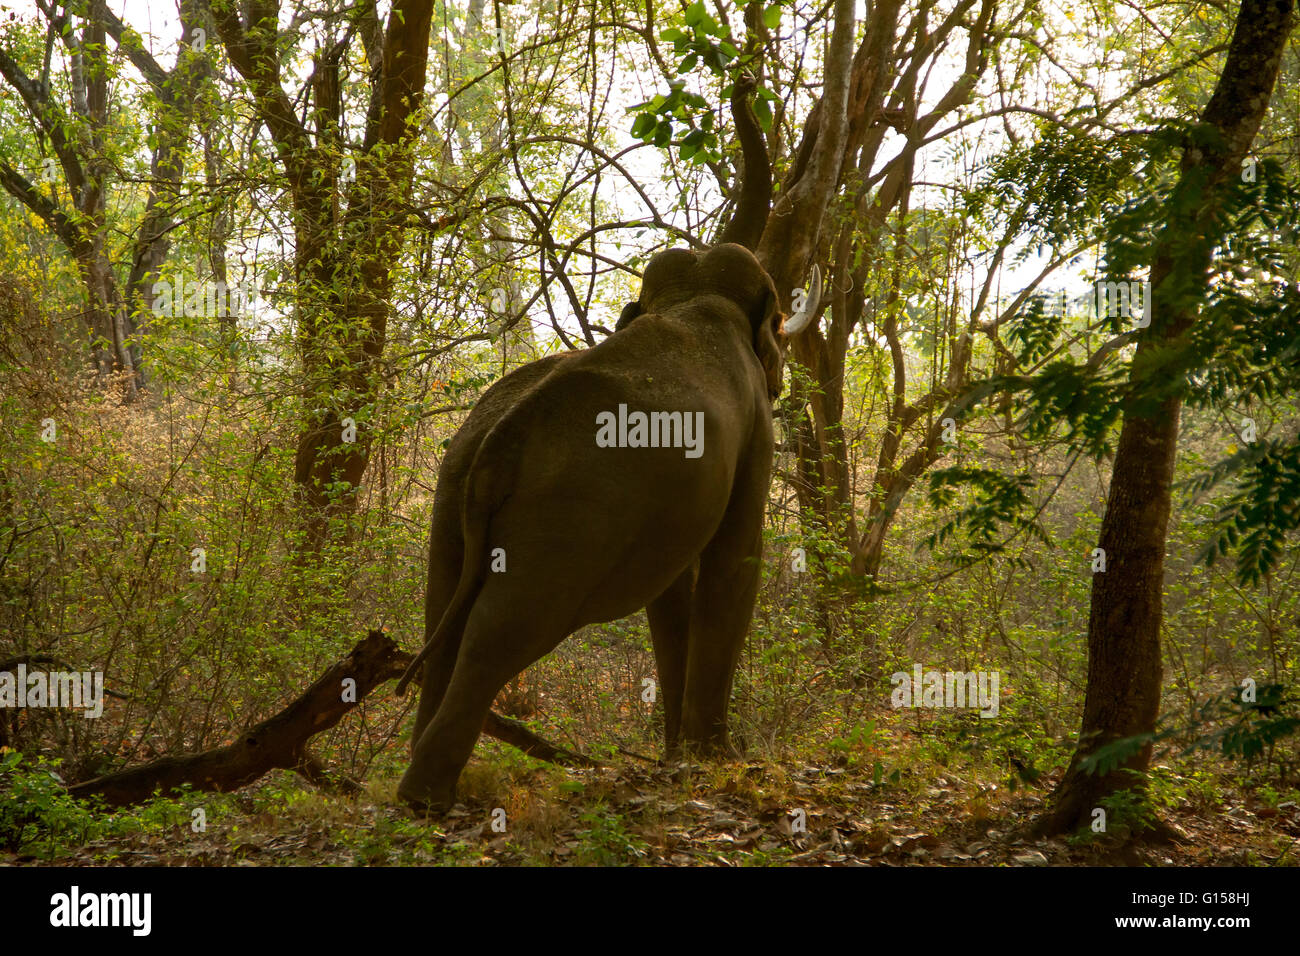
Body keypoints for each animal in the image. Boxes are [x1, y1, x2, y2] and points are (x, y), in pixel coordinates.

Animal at [396, 242, 820, 811]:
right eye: (777, 325)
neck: (696, 297)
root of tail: (499, 436)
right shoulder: (756, 432)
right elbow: (734, 559)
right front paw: (717, 759)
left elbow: (671, 594)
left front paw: (677, 757)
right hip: (567, 517)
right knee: (499, 631)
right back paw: (425, 798)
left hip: (449, 498)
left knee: (442, 615)